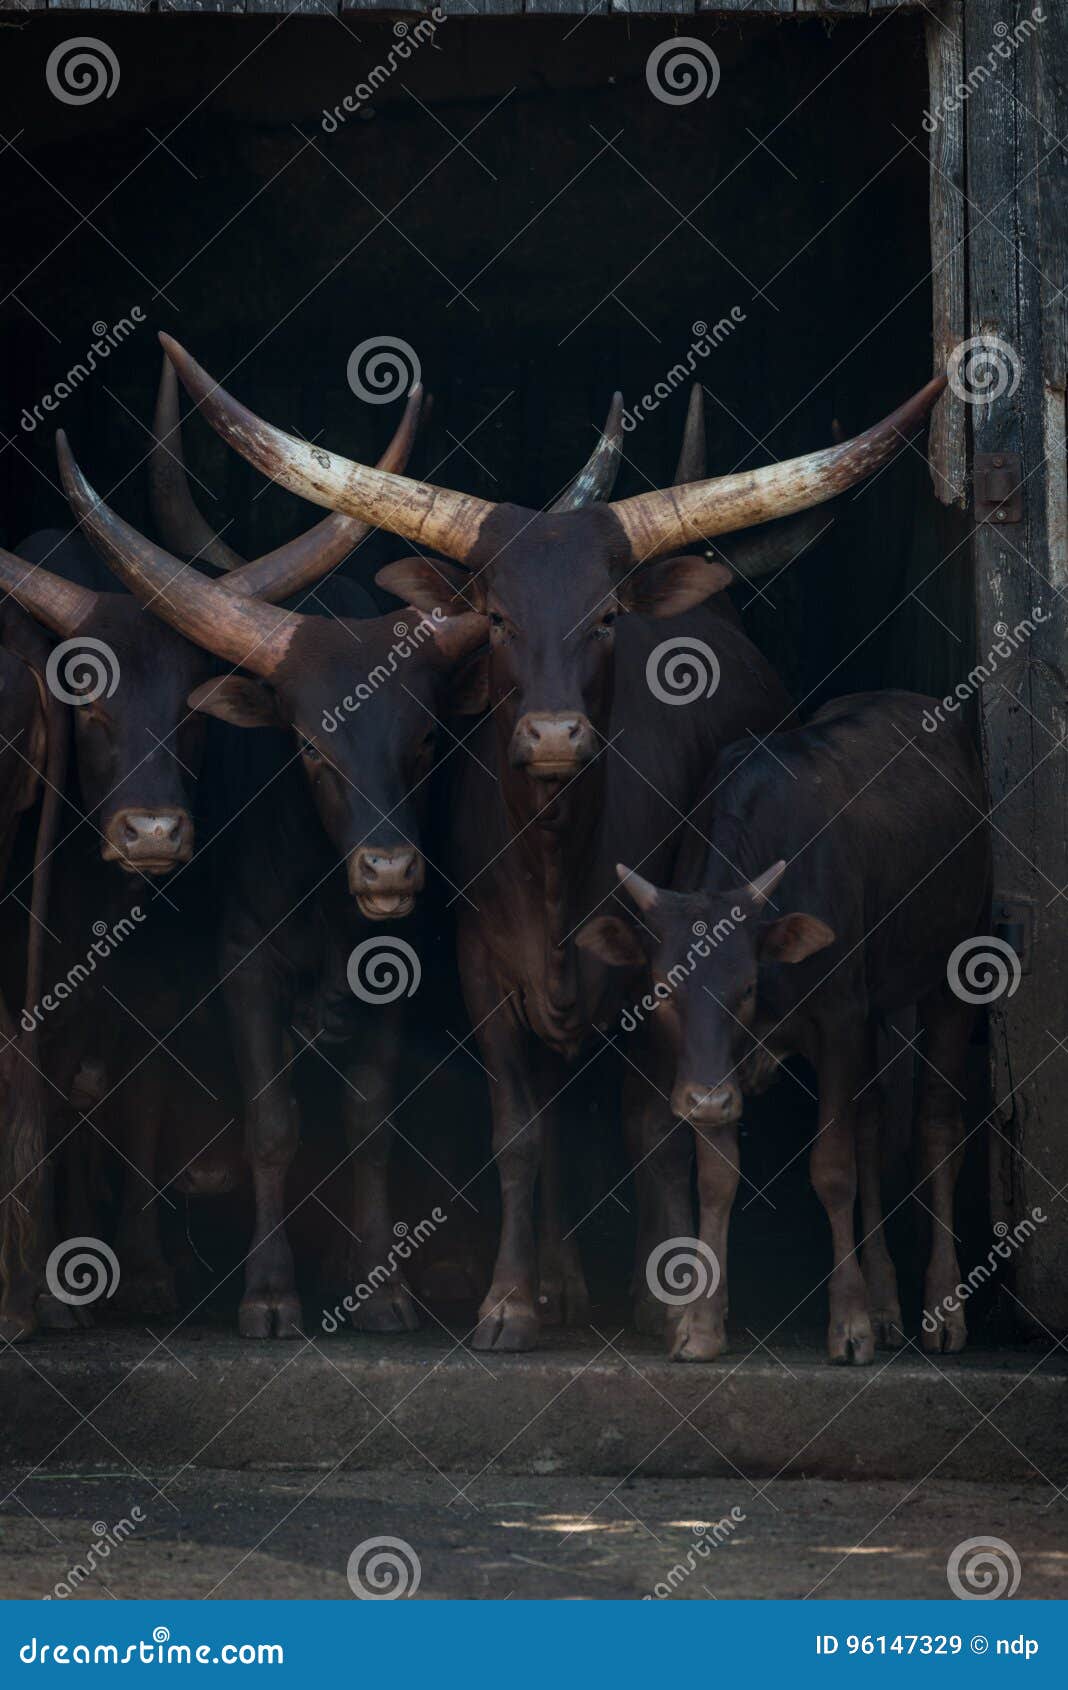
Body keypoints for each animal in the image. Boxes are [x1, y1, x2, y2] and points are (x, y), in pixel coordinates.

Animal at [158, 333, 945, 1351]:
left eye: (607, 617)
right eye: (497, 618)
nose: (554, 736)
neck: (553, 865)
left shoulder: (657, 958)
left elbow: (652, 1128)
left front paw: (669, 1297)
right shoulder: (482, 968)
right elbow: (522, 1134)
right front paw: (508, 1301)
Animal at [578, 692, 991, 1364]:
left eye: (746, 986)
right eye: (663, 988)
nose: (706, 1100)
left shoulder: (841, 1018)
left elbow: (833, 1168)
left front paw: (848, 1323)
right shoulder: (721, 1066)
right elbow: (718, 1175)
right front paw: (701, 1323)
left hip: (954, 967)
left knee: (936, 1126)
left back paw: (942, 1308)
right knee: (873, 1125)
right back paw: (886, 1303)